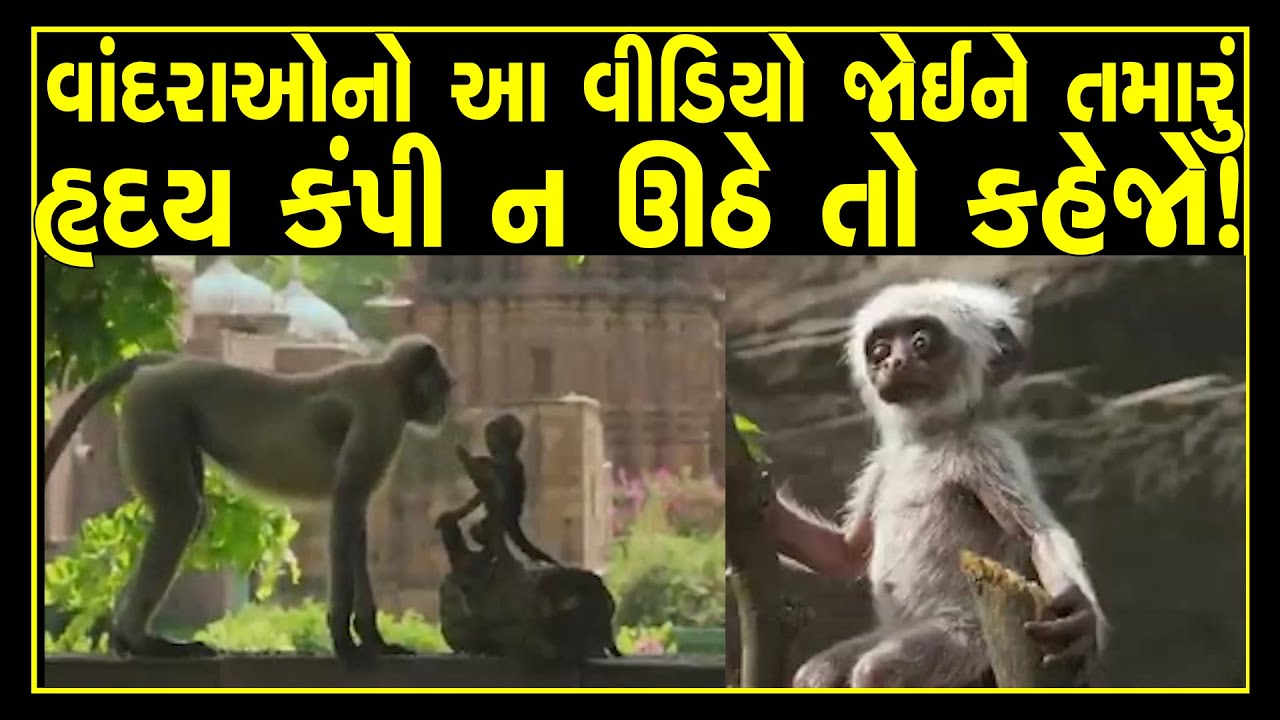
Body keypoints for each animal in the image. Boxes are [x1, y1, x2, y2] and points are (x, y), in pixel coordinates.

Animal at [41, 334, 454, 669]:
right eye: (444, 386)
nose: (446, 406)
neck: (389, 380)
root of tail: (166, 366)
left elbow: (355, 527)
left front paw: (375, 641)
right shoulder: (380, 413)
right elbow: (346, 507)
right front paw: (344, 642)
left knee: (189, 511)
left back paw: (128, 639)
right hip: (157, 408)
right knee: (182, 511)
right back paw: (142, 640)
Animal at [453, 413, 562, 567]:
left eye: (494, 432)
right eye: (489, 432)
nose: (488, 434)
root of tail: (514, 520)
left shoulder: (502, 463)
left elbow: (490, 483)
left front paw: (464, 454)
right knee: (479, 528)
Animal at [769, 279, 1106, 688]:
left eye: (921, 342)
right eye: (880, 350)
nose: (893, 362)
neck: (927, 441)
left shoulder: (985, 450)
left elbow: (1037, 533)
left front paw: (1081, 613)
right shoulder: (883, 464)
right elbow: (845, 552)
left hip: (968, 640)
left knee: (877, 669)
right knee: (816, 674)